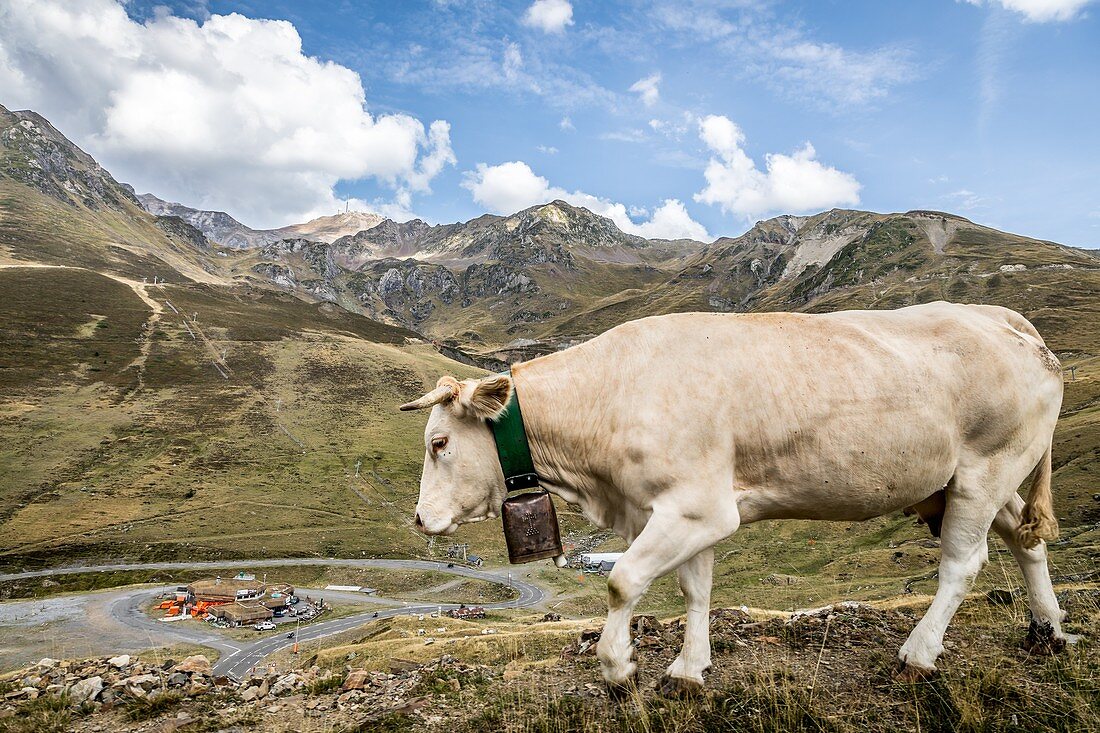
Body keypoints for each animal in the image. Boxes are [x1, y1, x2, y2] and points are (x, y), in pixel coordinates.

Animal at [399, 301, 1066, 695]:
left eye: (439, 443)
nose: (421, 518)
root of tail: (1004, 318)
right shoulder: (686, 511)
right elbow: (695, 590)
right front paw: (689, 669)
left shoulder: (696, 506)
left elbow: (622, 581)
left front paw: (618, 666)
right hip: (976, 479)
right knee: (1024, 540)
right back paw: (1049, 630)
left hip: (986, 468)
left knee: (964, 562)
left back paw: (920, 653)